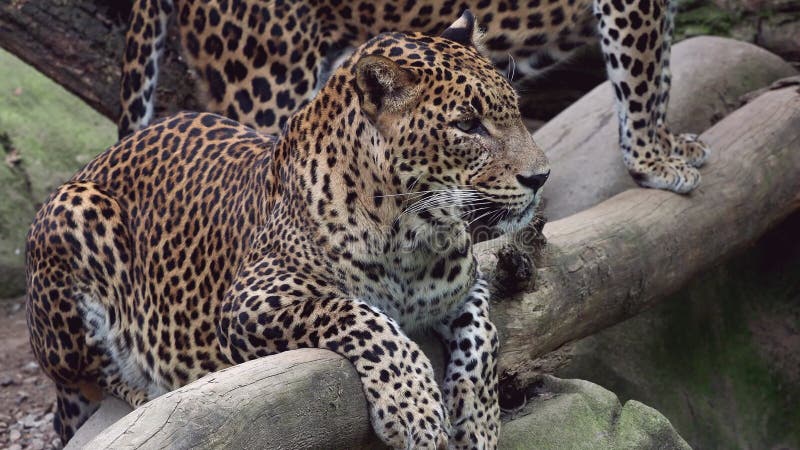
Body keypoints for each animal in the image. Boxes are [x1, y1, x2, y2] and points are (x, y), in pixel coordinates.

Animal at [28, 14, 550, 449]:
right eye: (467, 125)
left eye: (514, 109)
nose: (541, 176)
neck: (412, 234)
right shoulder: (249, 303)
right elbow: (361, 316)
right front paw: (413, 407)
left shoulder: (469, 286)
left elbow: (484, 336)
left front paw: (478, 420)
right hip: (73, 211)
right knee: (88, 378)